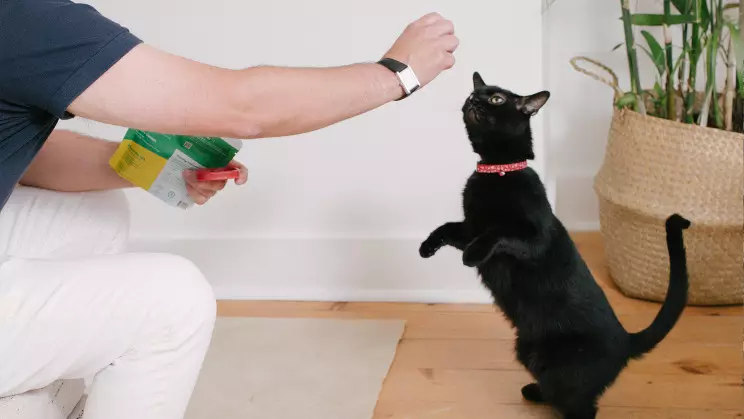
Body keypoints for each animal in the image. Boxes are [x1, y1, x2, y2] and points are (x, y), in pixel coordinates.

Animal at [418, 72, 692, 419]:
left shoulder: (534, 236)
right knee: (561, 394)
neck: (496, 172)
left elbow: (499, 233)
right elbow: (447, 228)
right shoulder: (470, 227)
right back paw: (534, 392)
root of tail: (625, 341)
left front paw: (473, 255)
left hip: (556, 363)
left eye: (496, 99)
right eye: (473, 93)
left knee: (582, 406)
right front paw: (427, 246)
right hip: (529, 351)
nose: (473, 100)